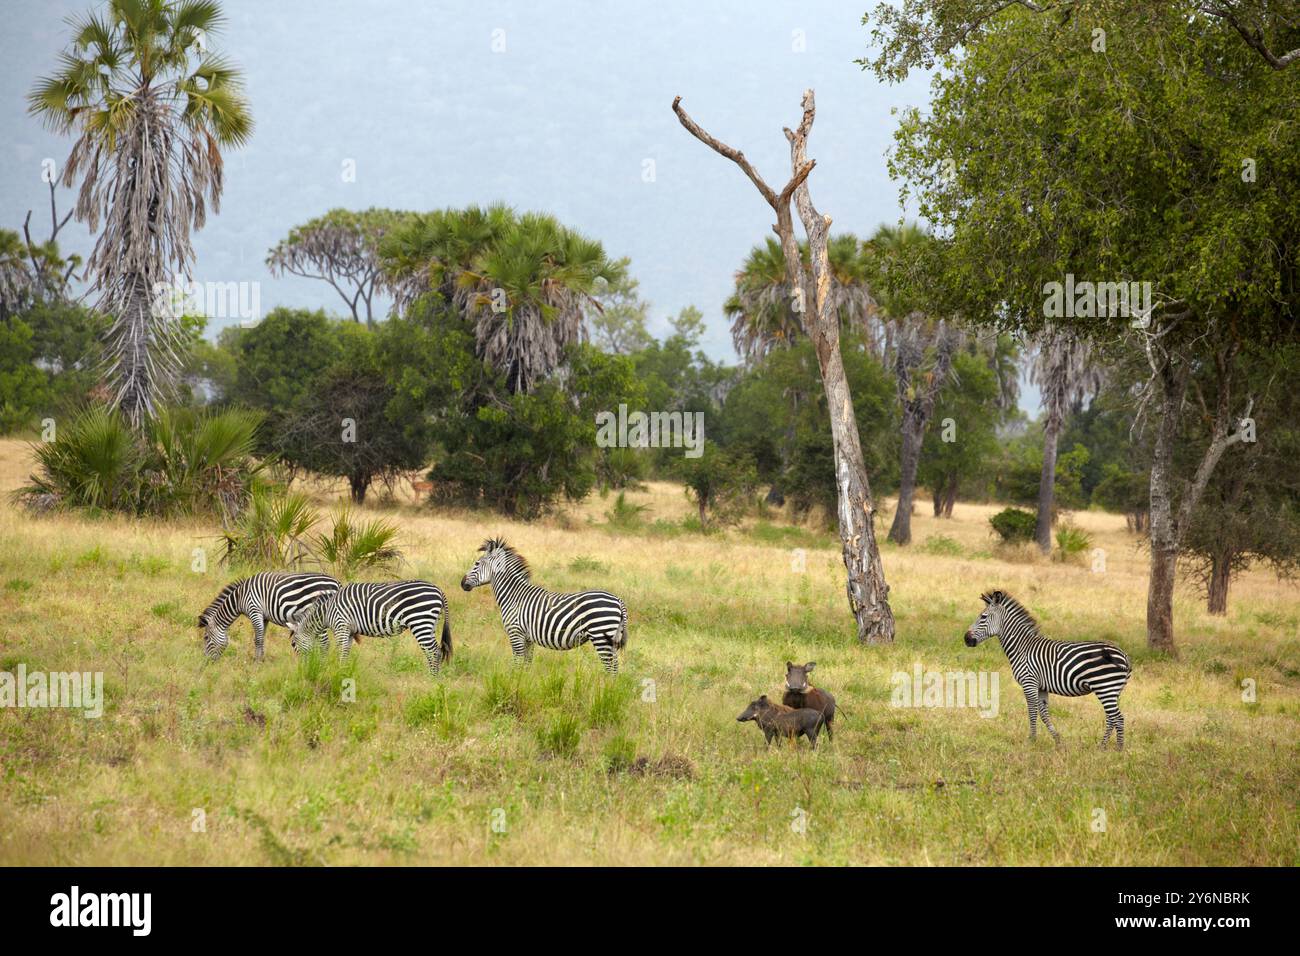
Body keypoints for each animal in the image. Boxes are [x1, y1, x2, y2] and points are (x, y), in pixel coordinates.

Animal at [198, 572, 340, 661]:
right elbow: (261, 638)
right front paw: (261, 659)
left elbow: (258, 639)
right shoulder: (264, 617)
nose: (206, 661)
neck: (240, 598)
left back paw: (321, 665)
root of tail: (336, 582)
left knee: (325, 643)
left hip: (318, 614)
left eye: (206, 637)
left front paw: (256, 662)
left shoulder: (254, 610)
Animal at [288, 580, 452, 674]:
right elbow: (346, 653)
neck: (327, 612)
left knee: (433, 652)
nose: (302, 669)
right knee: (436, 650)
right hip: (430, 624)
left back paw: (433, 679)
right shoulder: (349, 632)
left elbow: (341, 652)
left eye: (294, 643)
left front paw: (338, 675)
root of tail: (438, 590)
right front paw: (344, 673)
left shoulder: (341, 626)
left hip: (420, 621)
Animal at [460, 537, 628, 673]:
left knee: (610, 668)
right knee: (615, 666)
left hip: (600, 635)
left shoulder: (515, 633)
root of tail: (618, 600)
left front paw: (512, 683)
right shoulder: (528, 638)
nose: (462, 583)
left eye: (476, 563)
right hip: (612, 638)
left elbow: (517, 664)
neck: (514, 595)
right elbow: (526, 664)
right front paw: (523, 683)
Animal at [963, 590, 1132, 750]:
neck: (1022, 648)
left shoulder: (1029, 683)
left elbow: (1032, 712)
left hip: (1104, 686)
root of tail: (1124, 655)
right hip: (1113, 690)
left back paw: (1114, 748)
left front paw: (1031, 740)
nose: (966, 639)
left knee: (1117, 717)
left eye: (983, 617)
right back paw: (1107, 746)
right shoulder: (1041, 687)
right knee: (1112, 717)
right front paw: (1057, 740)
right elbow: (1043, 713)